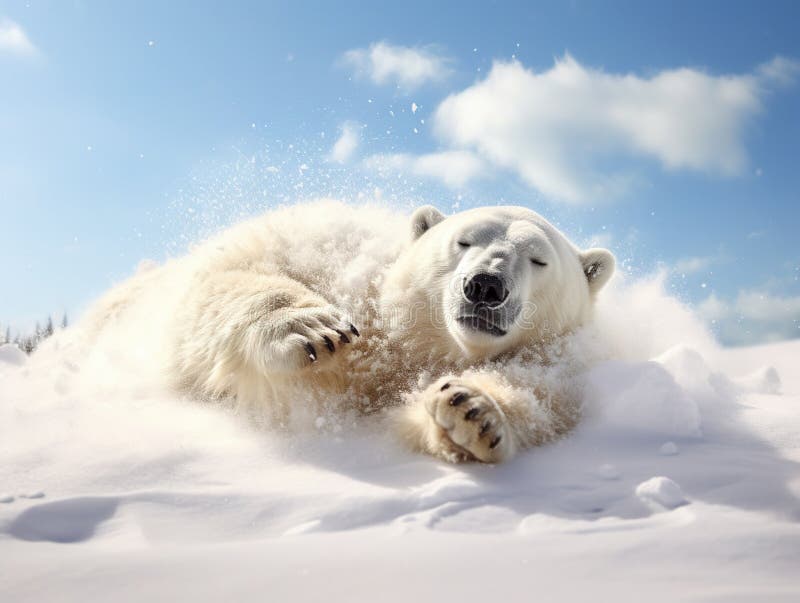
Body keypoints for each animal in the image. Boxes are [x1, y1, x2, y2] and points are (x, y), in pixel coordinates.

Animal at [81, 200, 614, 463]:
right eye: (464, 241)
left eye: (538, 259)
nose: (485, 285)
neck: (417, 346)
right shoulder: (335, 262)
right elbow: (232, 274)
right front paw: (312, 329)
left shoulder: (556, 359)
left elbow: (538, 394)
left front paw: (471, 411)